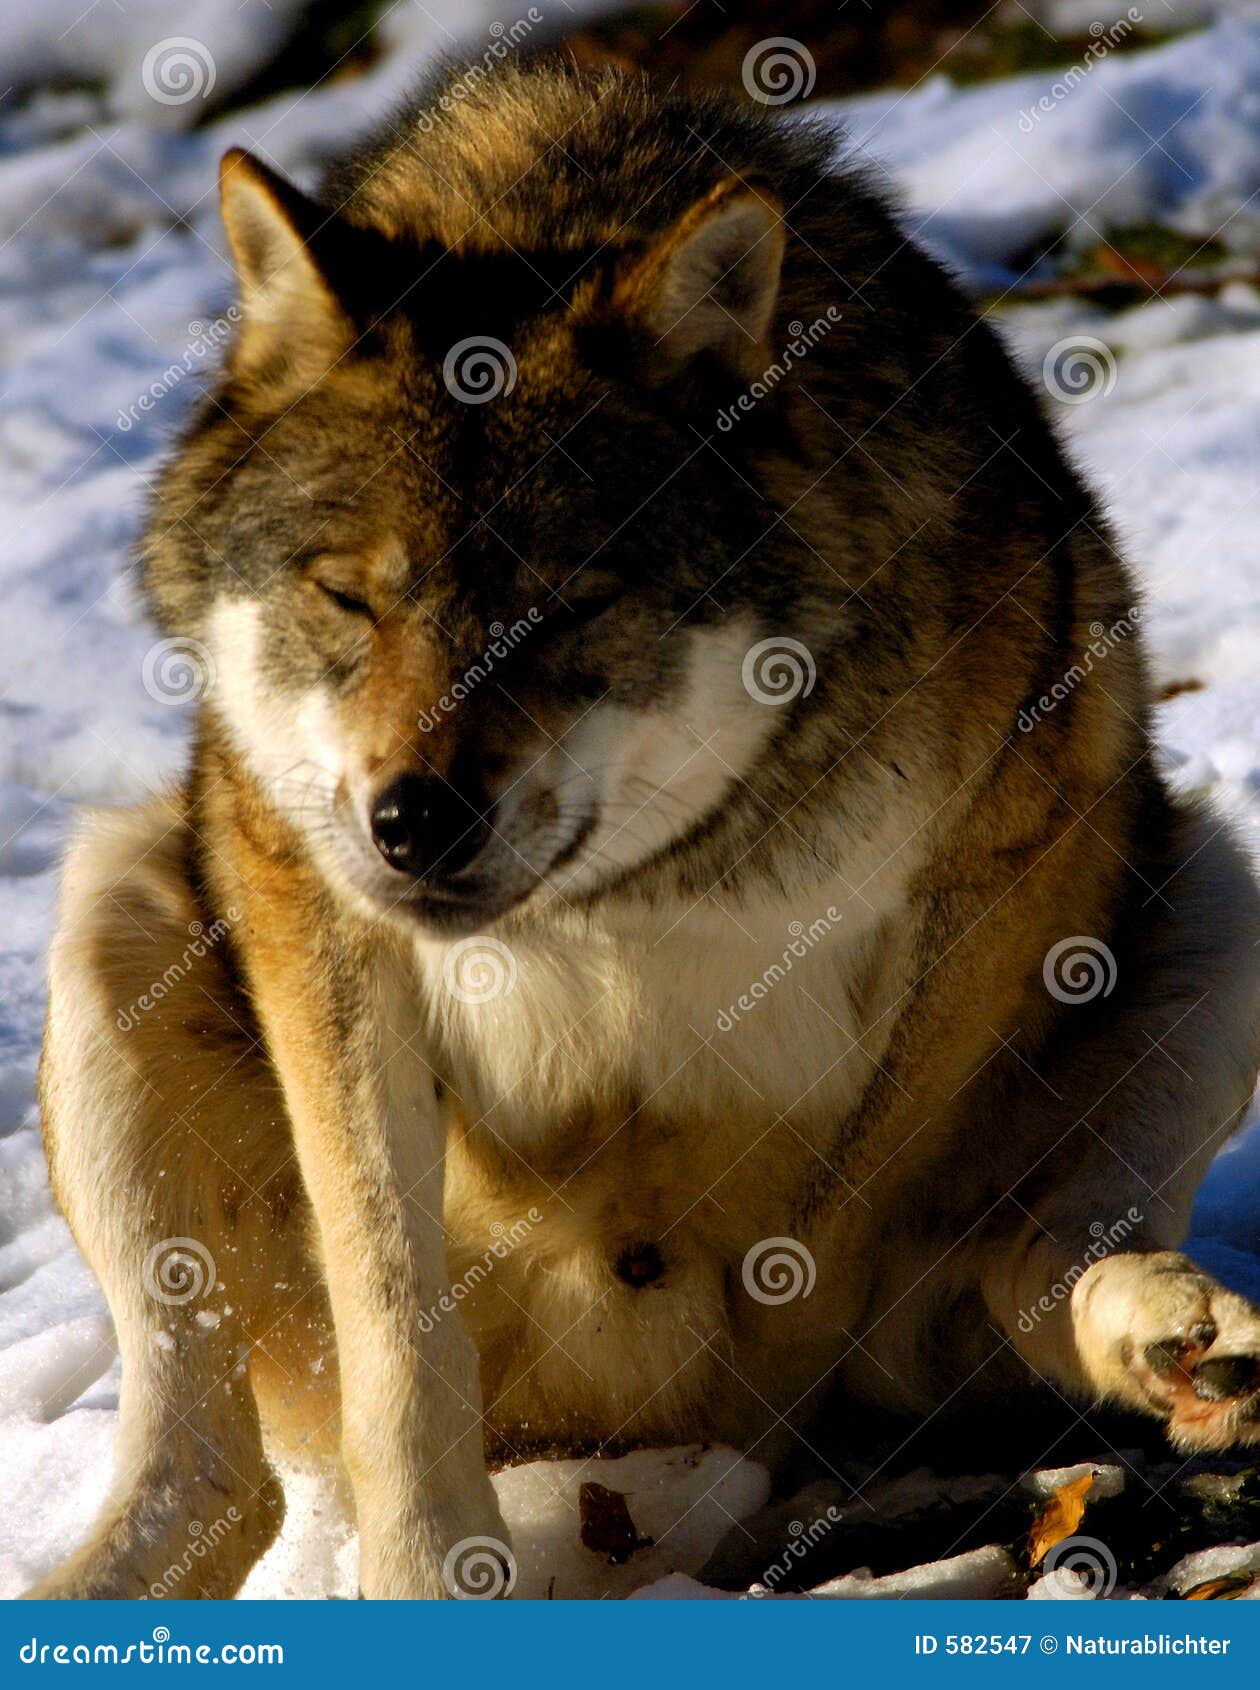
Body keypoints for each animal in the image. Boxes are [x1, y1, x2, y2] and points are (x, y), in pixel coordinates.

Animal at [29, 58, 1260, 1599]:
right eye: (349, 597)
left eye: (567, 609)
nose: (414, 817)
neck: (626, 892)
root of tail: (585, 1440)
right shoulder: (308, 920)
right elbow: (398, 1331)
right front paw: (430, 1572)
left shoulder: (1008, 868)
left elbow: (841, 1224)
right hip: (121, 912)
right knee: (218, 1481)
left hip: (1215, 896)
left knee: (1013, 1272)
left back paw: (1161, 1340)